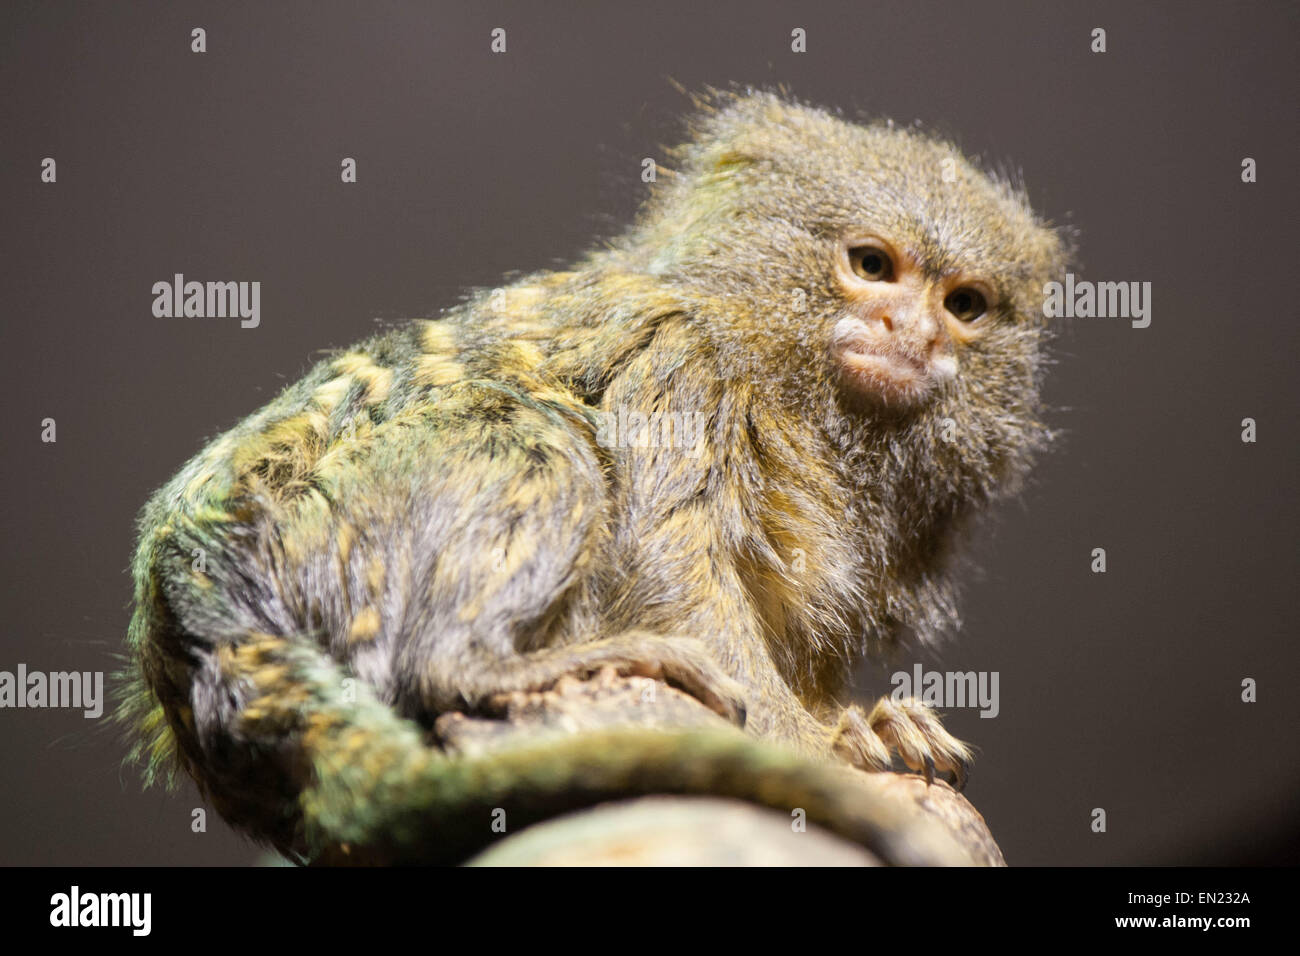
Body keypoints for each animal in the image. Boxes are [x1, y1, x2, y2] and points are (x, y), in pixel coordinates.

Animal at [117, 89, 1067, 865]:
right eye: (872, 265)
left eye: (965, 305)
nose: (915, 333)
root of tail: (195, 598)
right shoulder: (675, 359)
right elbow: (675, 567)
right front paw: (825, 743)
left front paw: (876, 718)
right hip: (328, 524)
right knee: (531, 454)